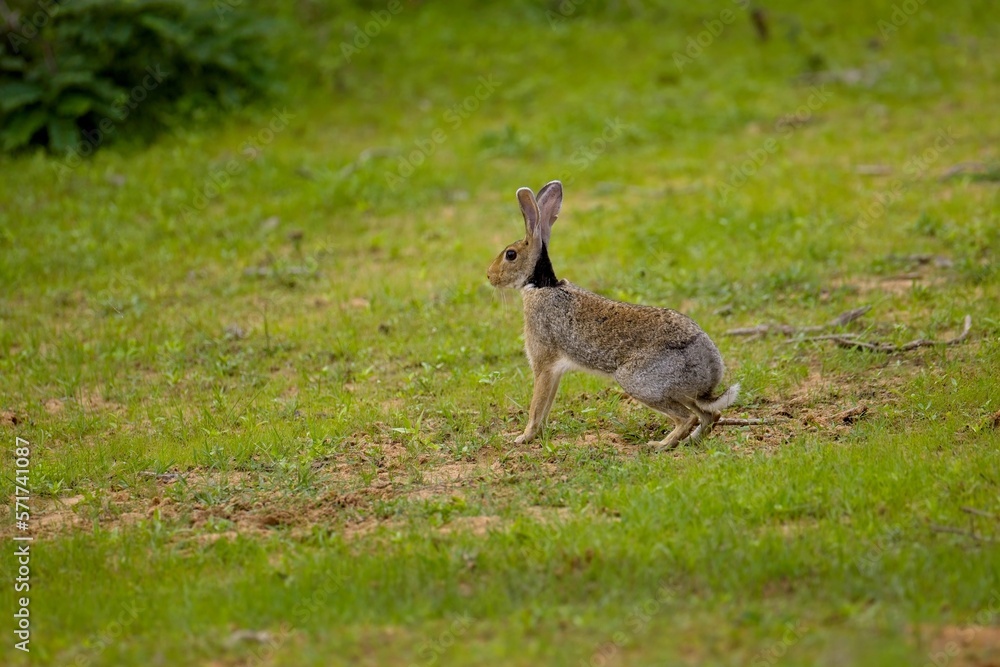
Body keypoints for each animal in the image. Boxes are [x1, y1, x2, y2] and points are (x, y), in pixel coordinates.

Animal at [487, 180, 739, 450]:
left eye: (510, 254)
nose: (489, 275)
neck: (541, 285)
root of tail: (710, 370)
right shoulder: (554, 371)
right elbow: (546, 405)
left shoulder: (544, 363)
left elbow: (537, 407)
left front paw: (524, 437)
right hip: (681, 392)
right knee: (711, 414)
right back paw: (689, 441)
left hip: (640, 382)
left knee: (687, 417)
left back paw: (659, 445)